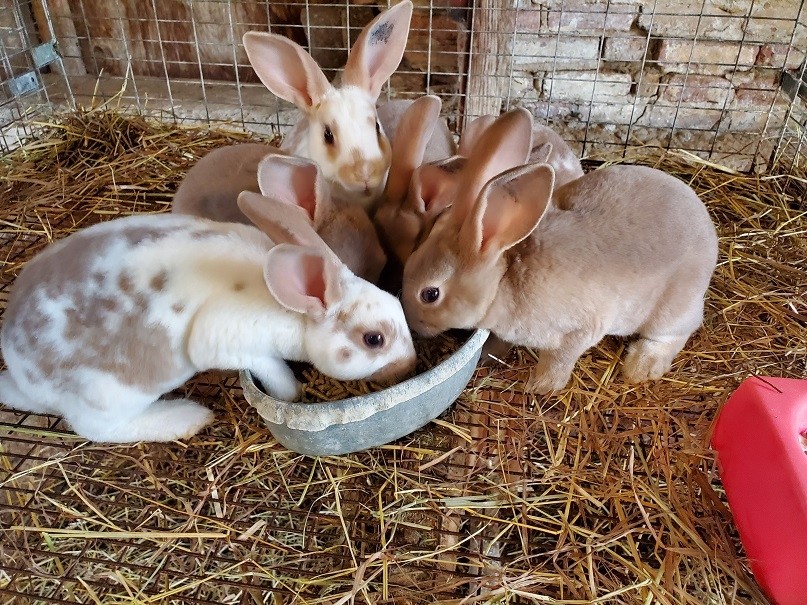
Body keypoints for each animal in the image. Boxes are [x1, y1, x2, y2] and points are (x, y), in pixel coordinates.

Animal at [0, 212, 416, 443]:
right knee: (96, 430)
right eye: (374, 339)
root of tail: (21, 374)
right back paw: (187, 418)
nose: (410, 364)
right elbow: (272, 370)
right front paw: (293, 392)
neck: (290, 308)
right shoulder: (233, 341)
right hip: (108, 395)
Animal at [401, 107, 718, 394]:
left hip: (672, 310)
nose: (413, 324)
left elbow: (560, 359)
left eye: (430, 294)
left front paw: (541, 386)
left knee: (679, 331)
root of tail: (708, 228)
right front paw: (490, 356)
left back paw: (642, 366)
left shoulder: (582, 329)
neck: (502, 282)